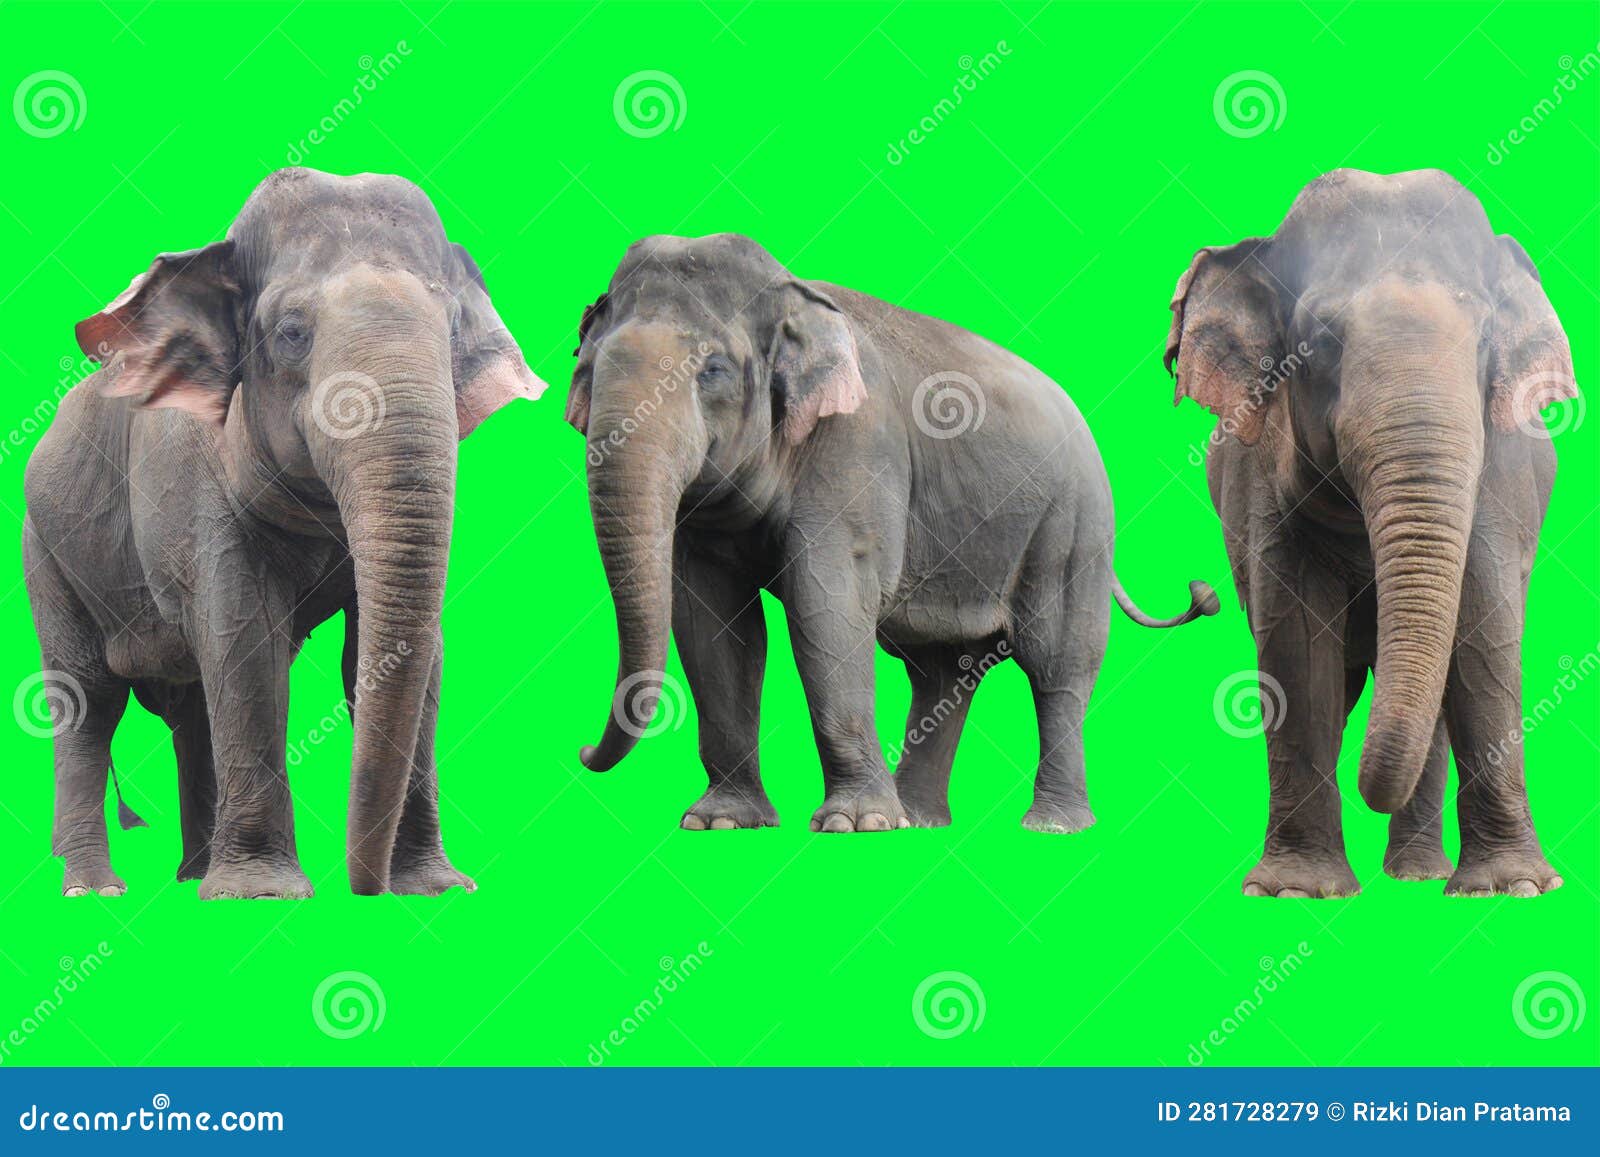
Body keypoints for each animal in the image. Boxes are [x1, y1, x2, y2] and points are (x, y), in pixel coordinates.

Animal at [23, 168, 543, 898]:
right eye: (293, 332)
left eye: (451, 333)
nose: (364, 887)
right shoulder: (193, 484)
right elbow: (244, 639)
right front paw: (259, 894)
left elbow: (403, 653)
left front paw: (435, 888)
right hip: (45, 549)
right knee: (89, 698)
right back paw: (96, 888)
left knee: (189, 701)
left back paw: (192, 874)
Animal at [567, 233, 1218, 833]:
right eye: (588, 372)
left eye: (713, 371)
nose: (581, 751)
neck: (792, 297)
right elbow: (712, 617)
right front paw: (722, 822)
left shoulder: (855, 442)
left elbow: (826, 601)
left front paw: (855, 825)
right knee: (942, 671)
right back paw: (922, 820)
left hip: (1075, 524)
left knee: (1057, 663)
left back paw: (1051, 826)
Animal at [1165, 168, 1579, 898]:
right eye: (1322, 341)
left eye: (1482, 342)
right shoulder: (1264, 479)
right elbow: (1297, 644)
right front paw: (1296, 890)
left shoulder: (1499, 479)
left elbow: (1483, 624)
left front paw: (1515, 887)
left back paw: (1417, 875)